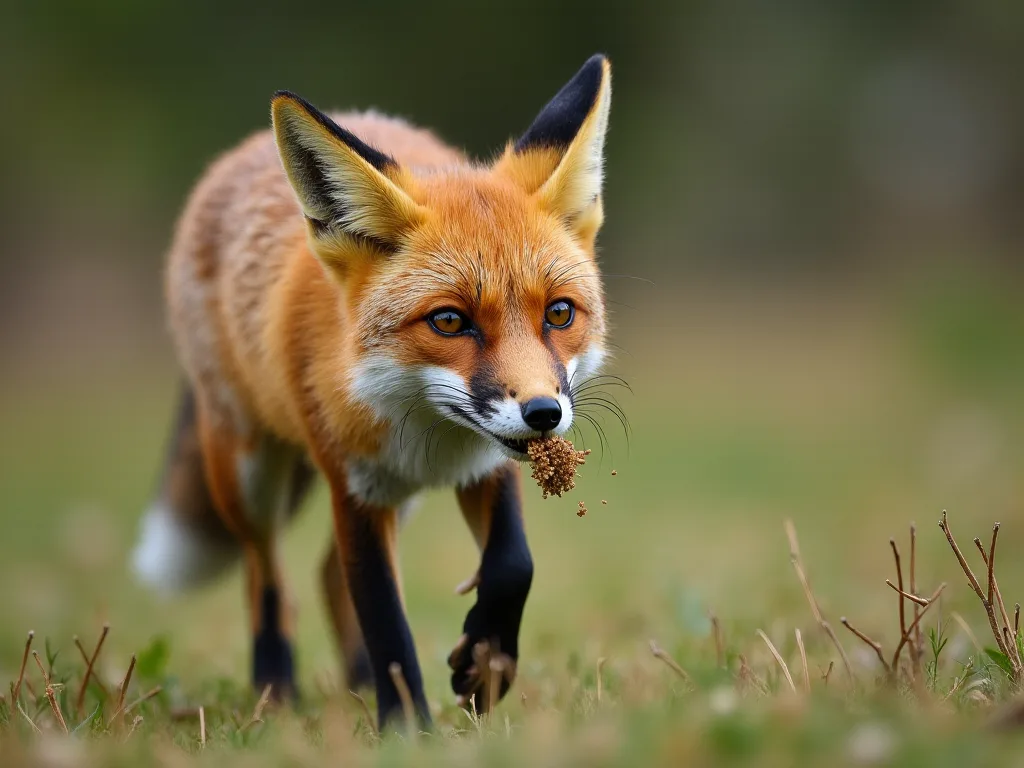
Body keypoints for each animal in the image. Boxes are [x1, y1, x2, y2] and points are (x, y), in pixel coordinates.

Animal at [132, 53, 612, 730]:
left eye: (560, 313)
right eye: (449, 321)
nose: (543, 413)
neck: (435, 436)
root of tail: (237, 156)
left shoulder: (488, 464)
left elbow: (514, 564)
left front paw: (485, 669)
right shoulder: (353, 487)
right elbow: (386, 622)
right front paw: (409, 731)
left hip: (396, 500)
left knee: (327, 578)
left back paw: (355, 686)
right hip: (248, 475)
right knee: (267, 578)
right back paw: (276, 695)